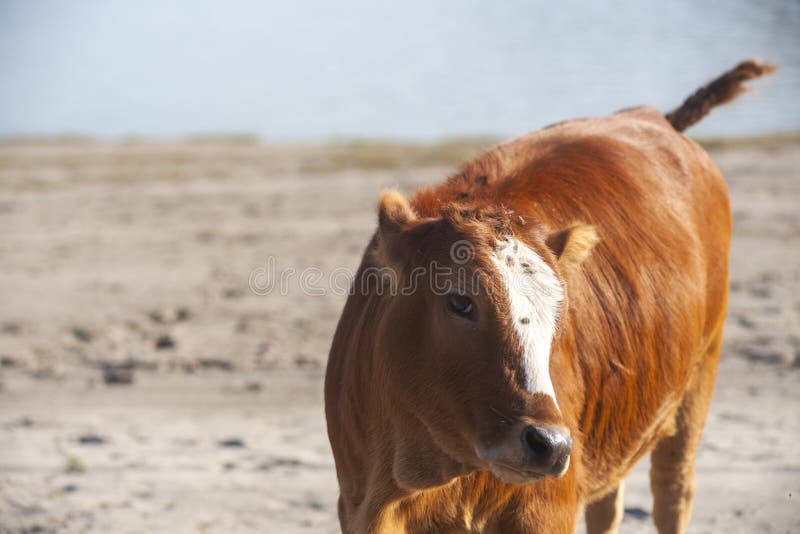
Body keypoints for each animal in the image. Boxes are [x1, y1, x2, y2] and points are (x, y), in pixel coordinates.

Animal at [325, 59, 775, 533]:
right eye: (460, 301)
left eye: (559, 313)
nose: (551, 443)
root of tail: (655, 119)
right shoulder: (358, 506)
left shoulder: (545, 511)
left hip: (700, 377)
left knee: (673, 488)